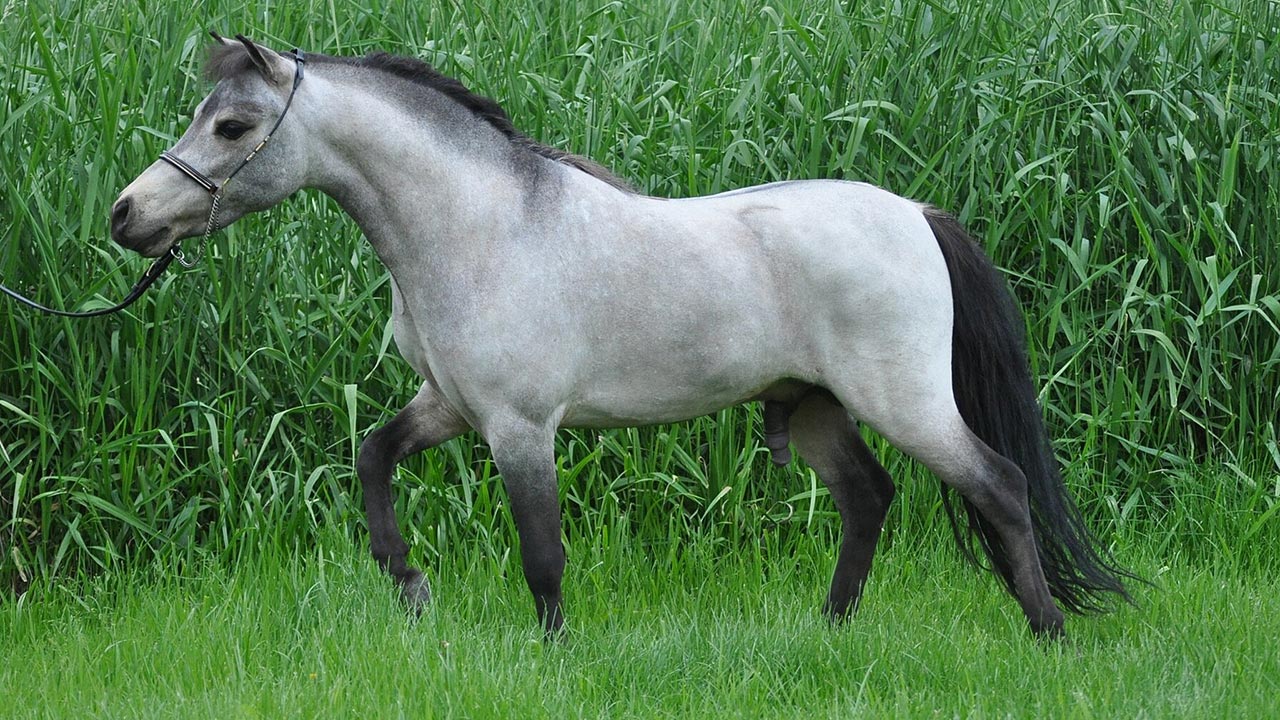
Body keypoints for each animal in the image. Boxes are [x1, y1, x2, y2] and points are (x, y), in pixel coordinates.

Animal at [110, 35, 1134, 638]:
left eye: (231, 125)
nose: (128, 217)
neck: (478, 226)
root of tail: (916, 214)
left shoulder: (520, 428)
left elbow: (541, 550)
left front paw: (551, 649)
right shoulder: (450, 406)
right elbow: (373, 456)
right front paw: (409, 583)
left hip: (905, 400)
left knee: (999, 486)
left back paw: (1049, 632)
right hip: (814, 409)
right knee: (869, 498)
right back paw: (832, 628)